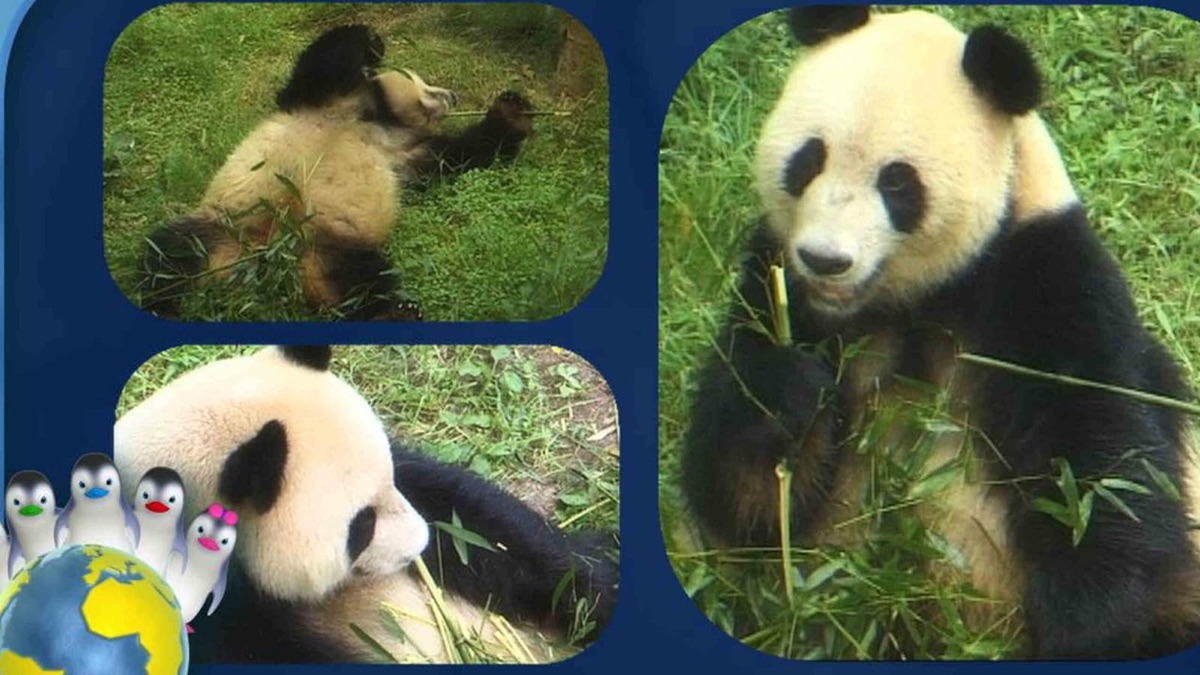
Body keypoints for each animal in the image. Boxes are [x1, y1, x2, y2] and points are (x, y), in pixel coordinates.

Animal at [140, 25, 535, 321]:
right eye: (422, 84)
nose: (451, 95)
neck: (375, 119)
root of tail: (272, 263)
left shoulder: (402, 155)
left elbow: (460, 154)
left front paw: (513, 111)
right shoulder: (320, 100)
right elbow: (323, 64)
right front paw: (372, 44)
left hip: (329, 244)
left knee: (361, 280)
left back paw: (392, 311)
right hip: (227, 226)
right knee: (171, 255)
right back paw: (164, 304)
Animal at [680, 6, 1200, 660]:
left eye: (898, 183)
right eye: (809, 159)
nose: (825, 260)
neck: (905, 306)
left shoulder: (1045, 279)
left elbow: (1104, 467)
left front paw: (1085, 627)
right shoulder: (776, 281)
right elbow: (751, 510)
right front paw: (788, 394)